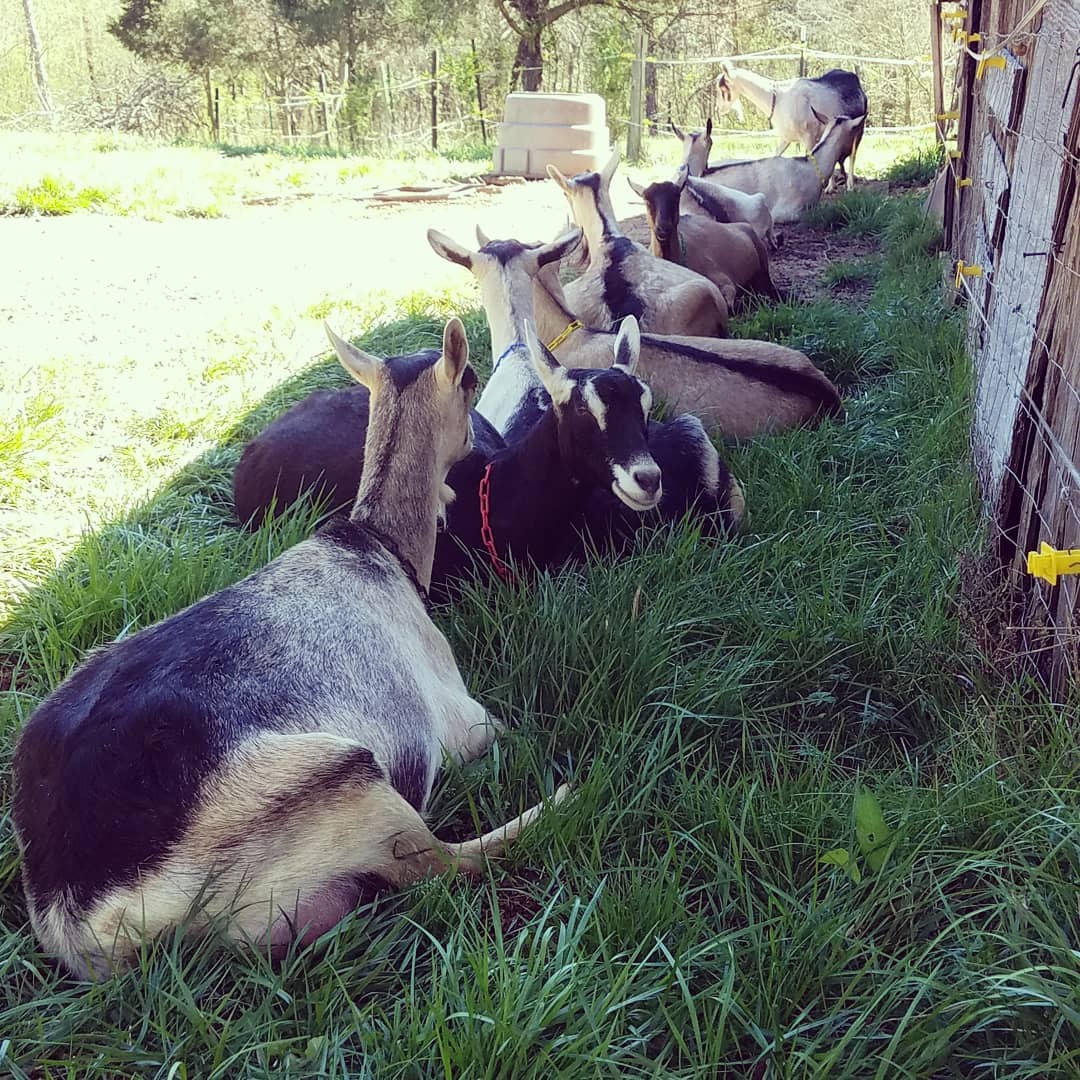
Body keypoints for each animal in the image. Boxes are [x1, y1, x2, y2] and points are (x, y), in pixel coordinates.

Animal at [14, 318, 571, 978]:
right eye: (471, 381)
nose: (488, 442)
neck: (374, 545)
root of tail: (85, 922)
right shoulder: (460, 715)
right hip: (344, 776)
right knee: (439, 864)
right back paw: (558, 800)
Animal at [713, 64, 868, 191]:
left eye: (722, 87)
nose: (717, 109)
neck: (779, 100)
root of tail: (854, 78)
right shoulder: (785, 138)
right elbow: (775, 155)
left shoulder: (809, 136)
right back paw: (831, 187)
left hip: (858, 129)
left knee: (853, 155)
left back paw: (849, 185)